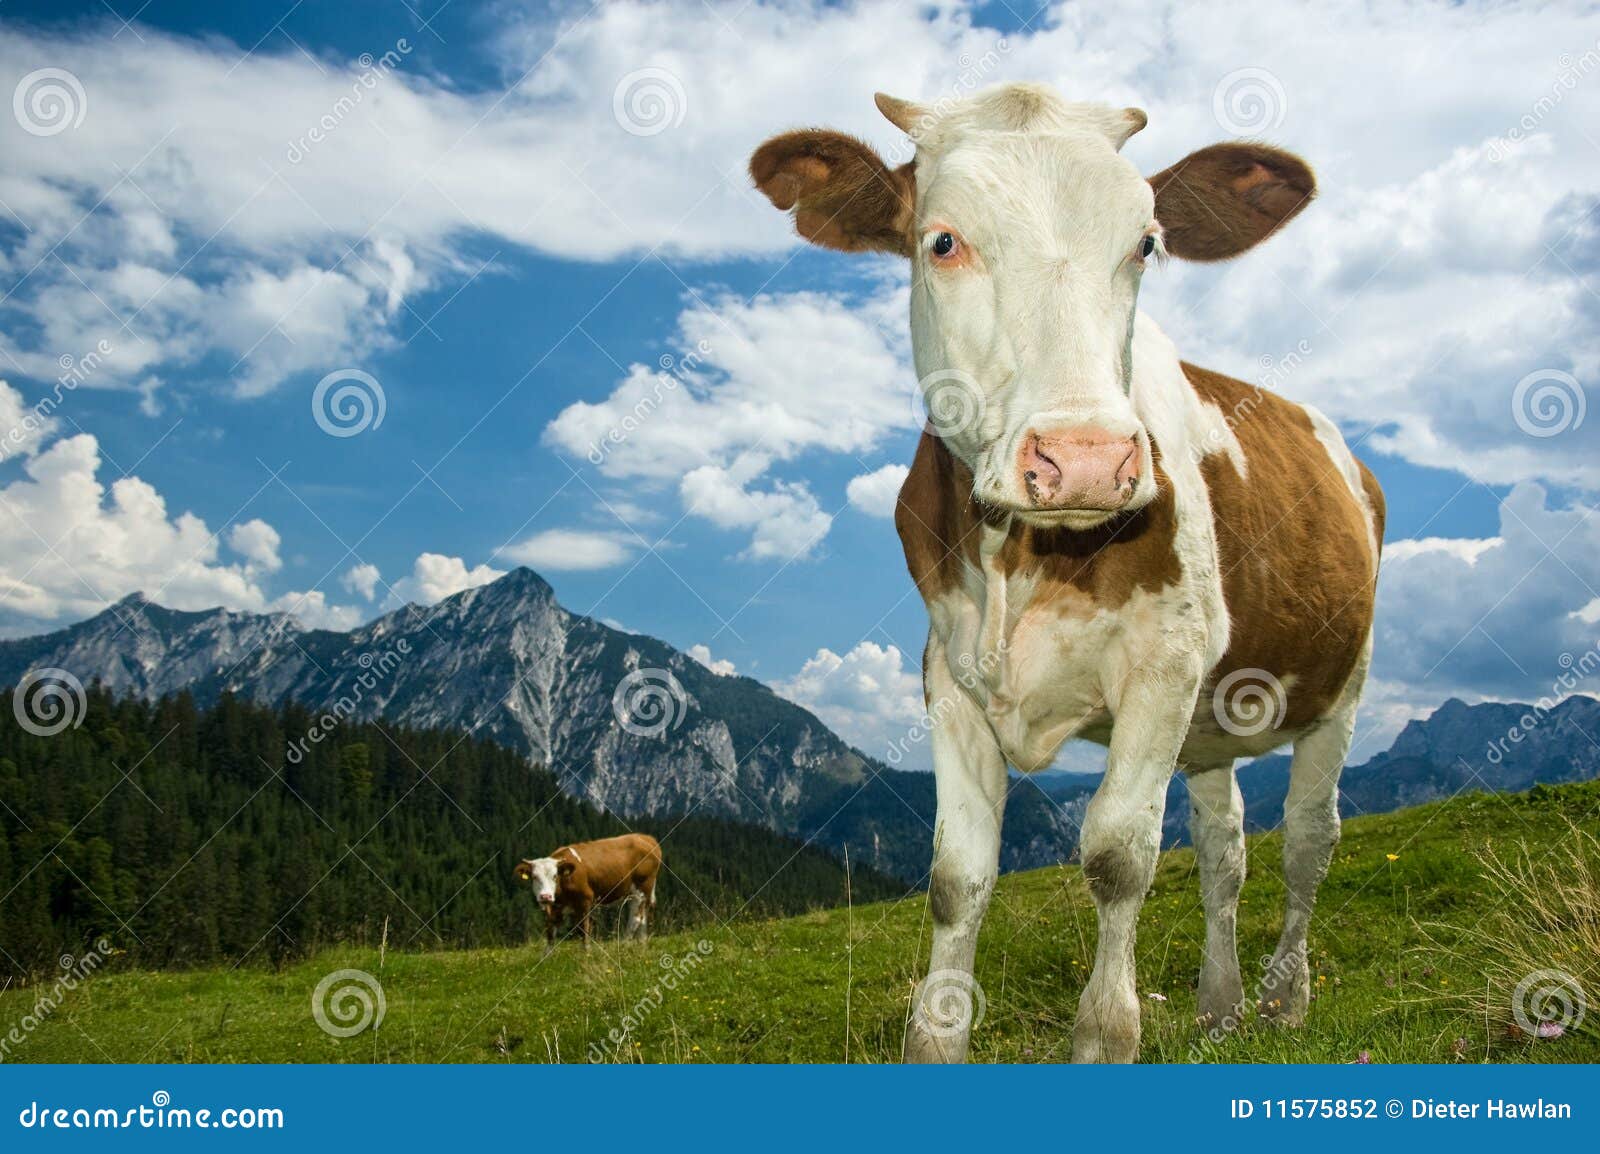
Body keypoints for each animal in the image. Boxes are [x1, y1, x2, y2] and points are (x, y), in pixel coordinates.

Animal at [514, 833, 662, 946]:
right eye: (534, 877)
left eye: (555, 876)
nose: (545, 896)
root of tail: (645, 837)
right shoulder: (555, 906)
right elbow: (550, 933)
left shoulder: (585, 900)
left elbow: (583, 931)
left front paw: (586, 955)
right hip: (638, 893)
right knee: (643, 917)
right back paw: (641, 945)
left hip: (642, 888)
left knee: (636, 918)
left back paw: (624, 945)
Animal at [751, 83, 1382, 1063]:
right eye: (942, 241)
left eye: (1146, 243)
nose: (1086, 459)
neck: (1026, 554)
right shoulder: (949, 676)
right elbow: (957, 874)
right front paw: (935, 1038)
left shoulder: (1164, 666)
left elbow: (1118, 857)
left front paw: (1107, 1034)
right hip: (1214, 724)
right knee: (1225, 847)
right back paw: (1220, 1004)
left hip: (1339, 687)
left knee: (1310, 840)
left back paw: (1285, 997)